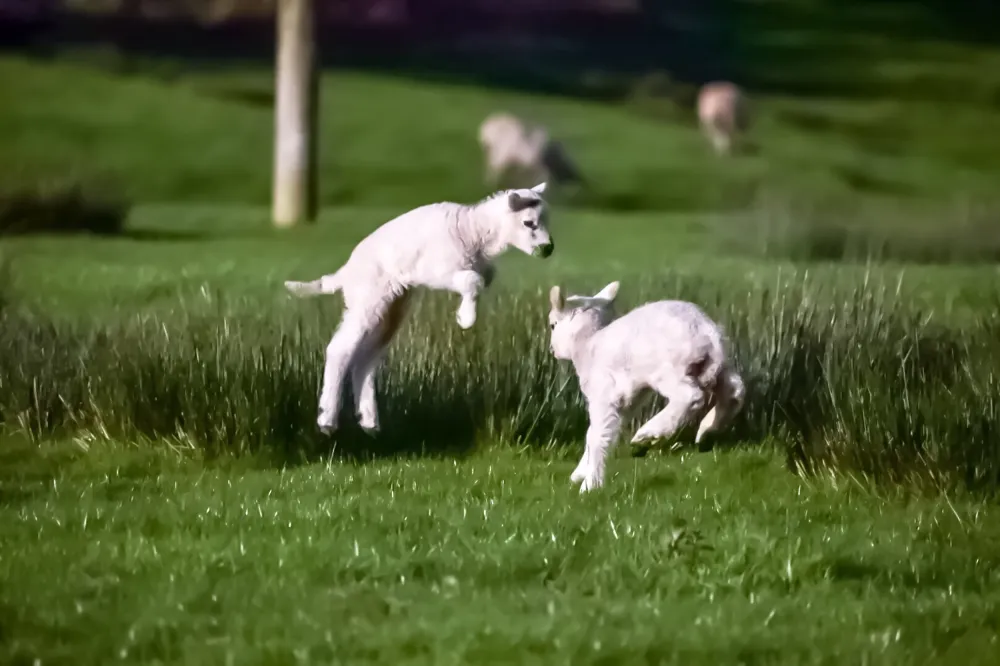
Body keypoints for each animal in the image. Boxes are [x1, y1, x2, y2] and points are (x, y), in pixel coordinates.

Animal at [284, 183, 555, 436]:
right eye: (529, 223)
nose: (548, 248)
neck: (473, 230)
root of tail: (345, 272)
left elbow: (480, 280)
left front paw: (465, 313)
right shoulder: (436, 270)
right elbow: (472, 281)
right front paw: (465, 319)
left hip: (393, 306)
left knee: (366, 357)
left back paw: (369, 421)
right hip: (366, 299)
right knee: (340, 348)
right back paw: (327, 420)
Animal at [547, 281, 745, 492]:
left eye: (553, 325)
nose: (552, 351)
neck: (588, 344)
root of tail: (709, 333)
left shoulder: (603, 394)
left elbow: (596, 436)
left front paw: (590, 484)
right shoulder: (627, 402)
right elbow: (598, 432)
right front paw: (580, 473)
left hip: (669, 370)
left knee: (690, 396)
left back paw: (649, 433)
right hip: (716, 368)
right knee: (735, 392)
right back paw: (707, 429)